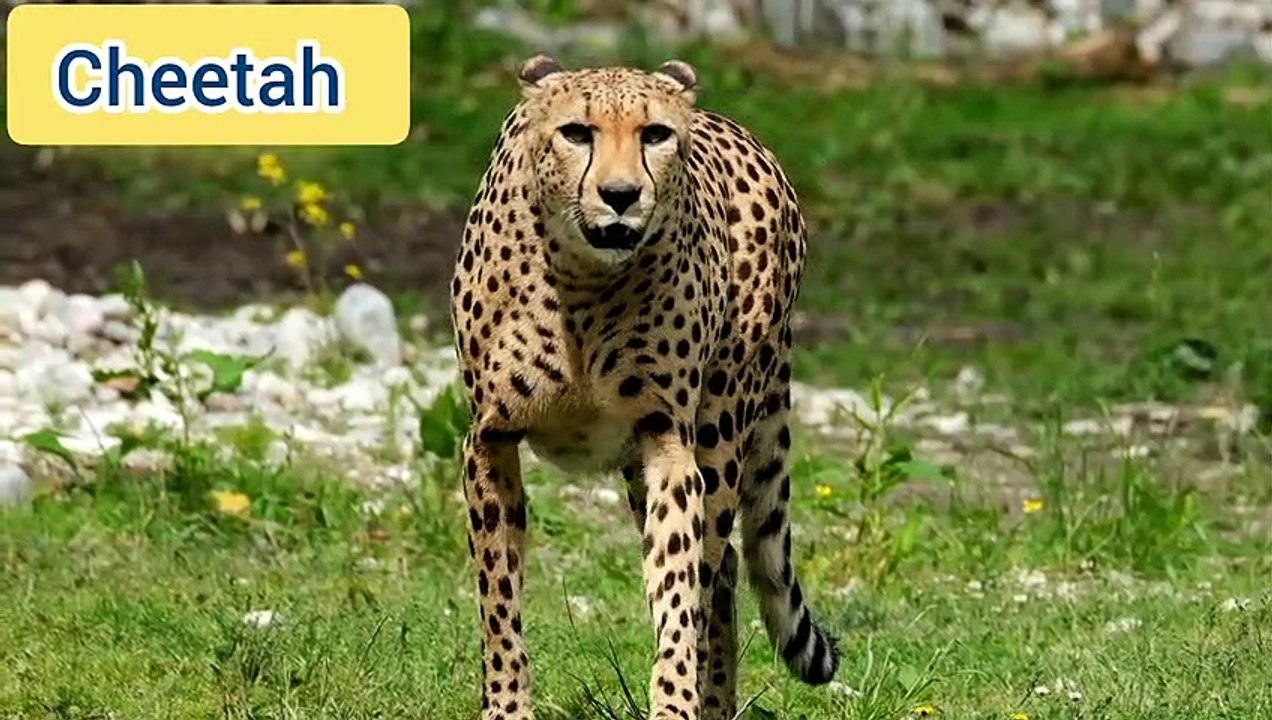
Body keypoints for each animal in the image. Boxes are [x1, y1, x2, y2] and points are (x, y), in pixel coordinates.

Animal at [449, 53, 840, 720]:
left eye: (655, 134)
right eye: (576, 132)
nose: (621, 195)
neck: (583, 280)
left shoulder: (668, 445)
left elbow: (680, 593)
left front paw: (676, 701)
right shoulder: (490, 437)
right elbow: (499, 598)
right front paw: (506, 704)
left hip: (719, 436)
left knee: (718, 571)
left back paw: (712, 700)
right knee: (725, 571)